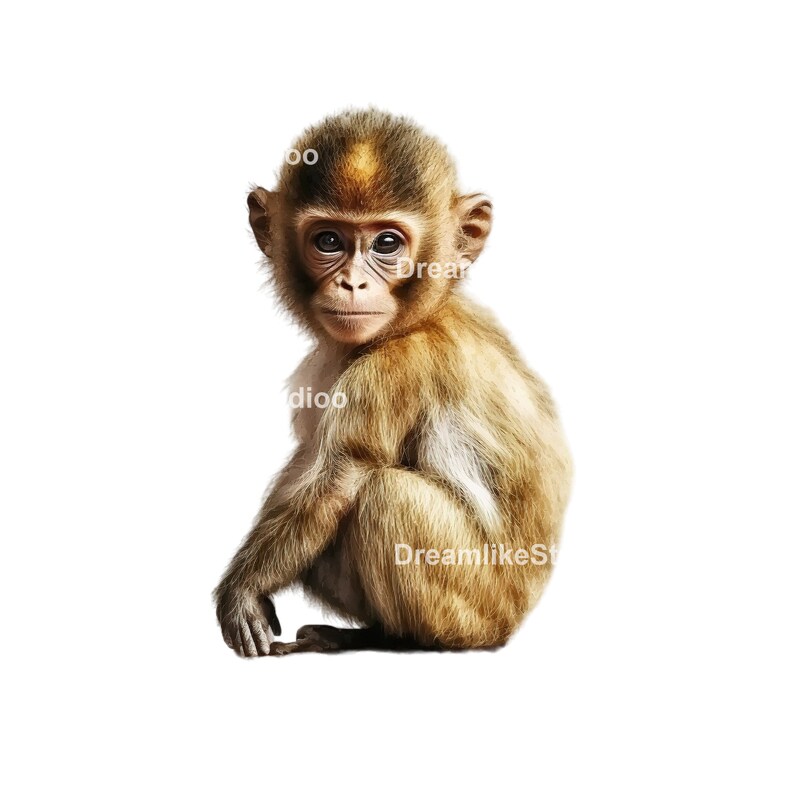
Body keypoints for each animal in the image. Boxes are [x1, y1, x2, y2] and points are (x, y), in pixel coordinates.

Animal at [214, 108, 572, 656]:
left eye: (386, 243)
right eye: (328, 241)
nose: (352, 283)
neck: (416, 317)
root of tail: (515, 622)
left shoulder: (394, 367)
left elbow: (338, 479)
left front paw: (242, 591)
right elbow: (308, 465)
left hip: (479, 610)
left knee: (385, 493)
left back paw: (407, 642)